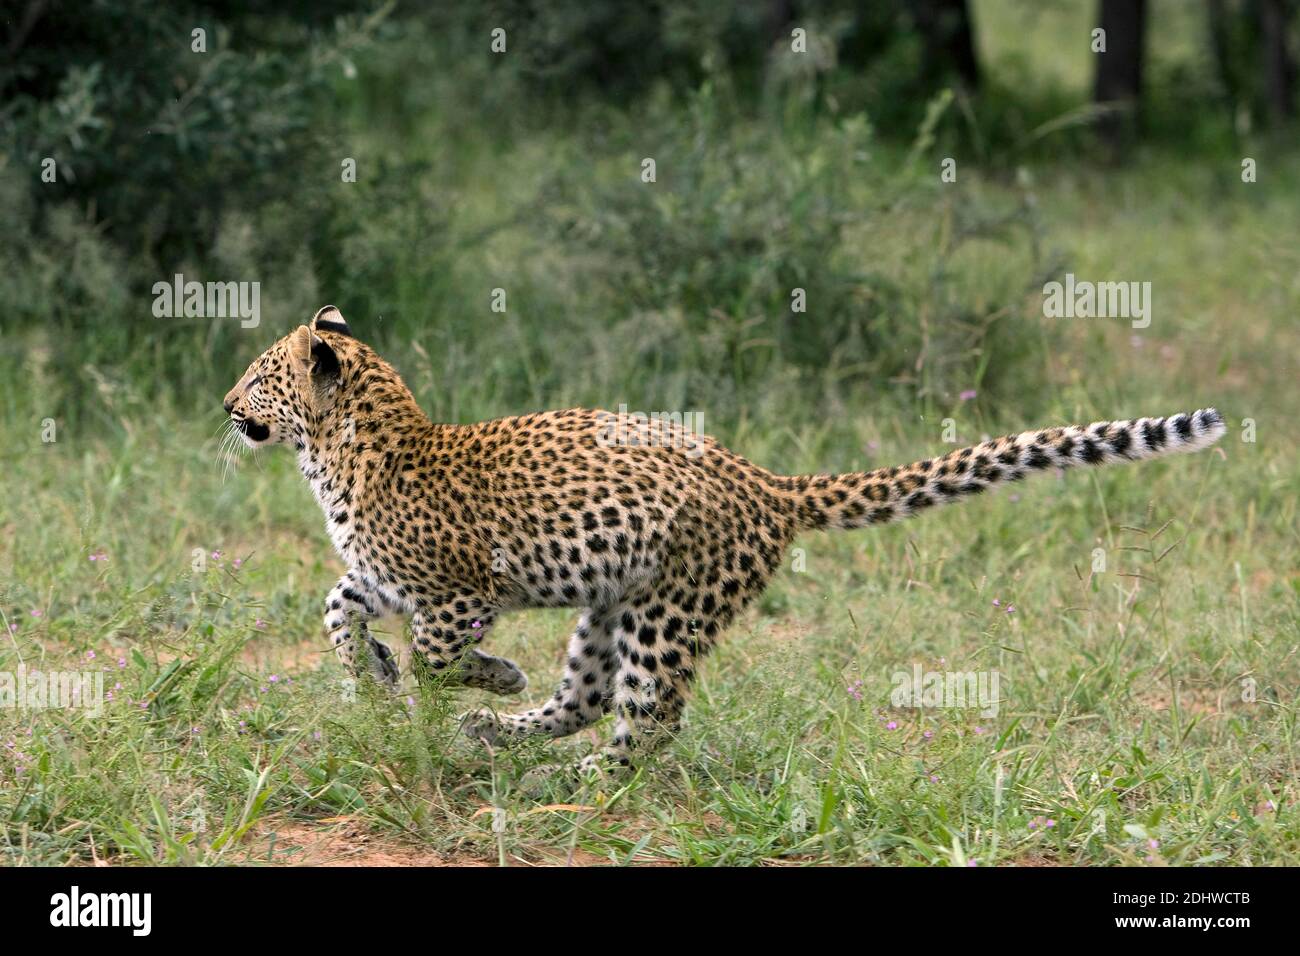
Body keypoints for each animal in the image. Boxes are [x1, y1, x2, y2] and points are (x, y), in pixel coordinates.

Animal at [223, 305, 1226, 774]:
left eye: (259, 375)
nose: (226, 405)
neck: (337, 454)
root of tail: (766, 479)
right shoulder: (387, 582)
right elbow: (337, 605)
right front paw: (373, 673)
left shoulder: (457, 595)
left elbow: (436, 659)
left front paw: (458, 683)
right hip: (613, 606)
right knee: (588, 698)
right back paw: (508, 732)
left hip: (667, 616)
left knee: (647, 724)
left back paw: (576, 776)